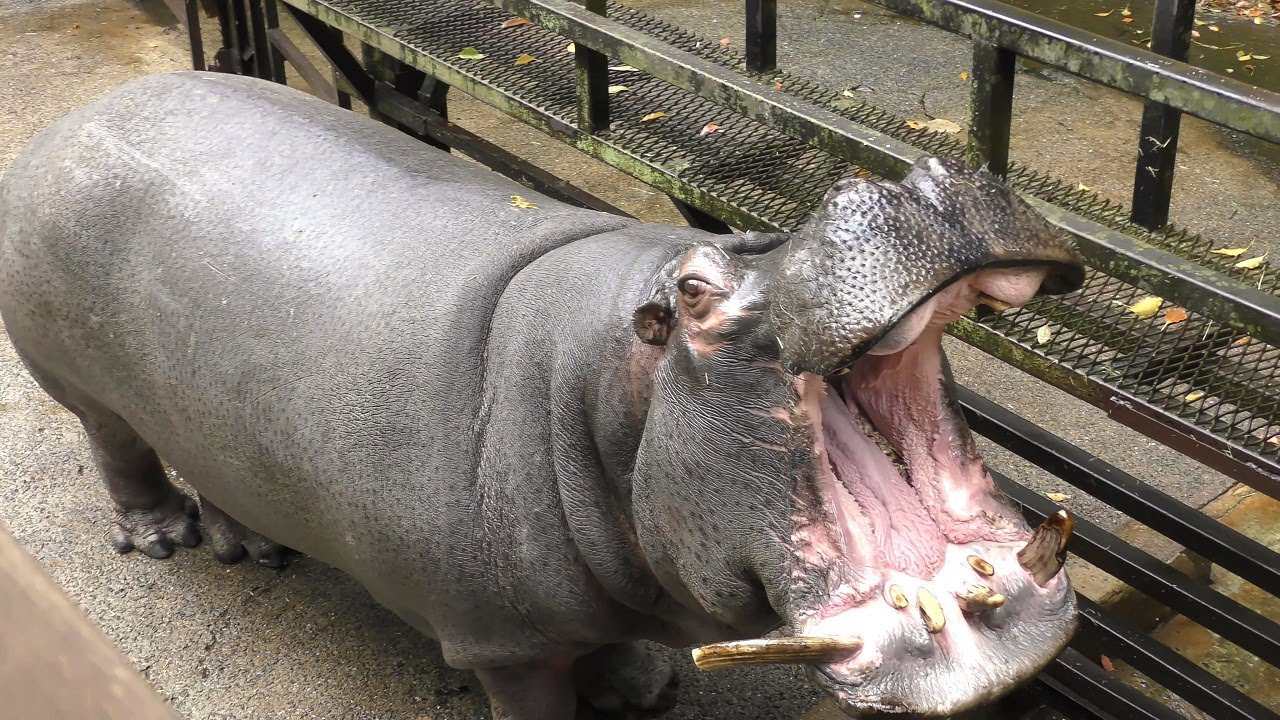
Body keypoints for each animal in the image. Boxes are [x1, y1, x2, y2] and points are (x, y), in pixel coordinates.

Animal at [0, 71, 1083, 718]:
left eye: (730, 241)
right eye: (694, 292)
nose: (901, 183)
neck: (609, 392)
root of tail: (80, 115)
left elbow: (611, 641)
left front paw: (640, 685)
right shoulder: (502, 642)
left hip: (215, 407)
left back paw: (253, 547)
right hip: (82, 386)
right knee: (118, 448)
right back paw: (161, 540)